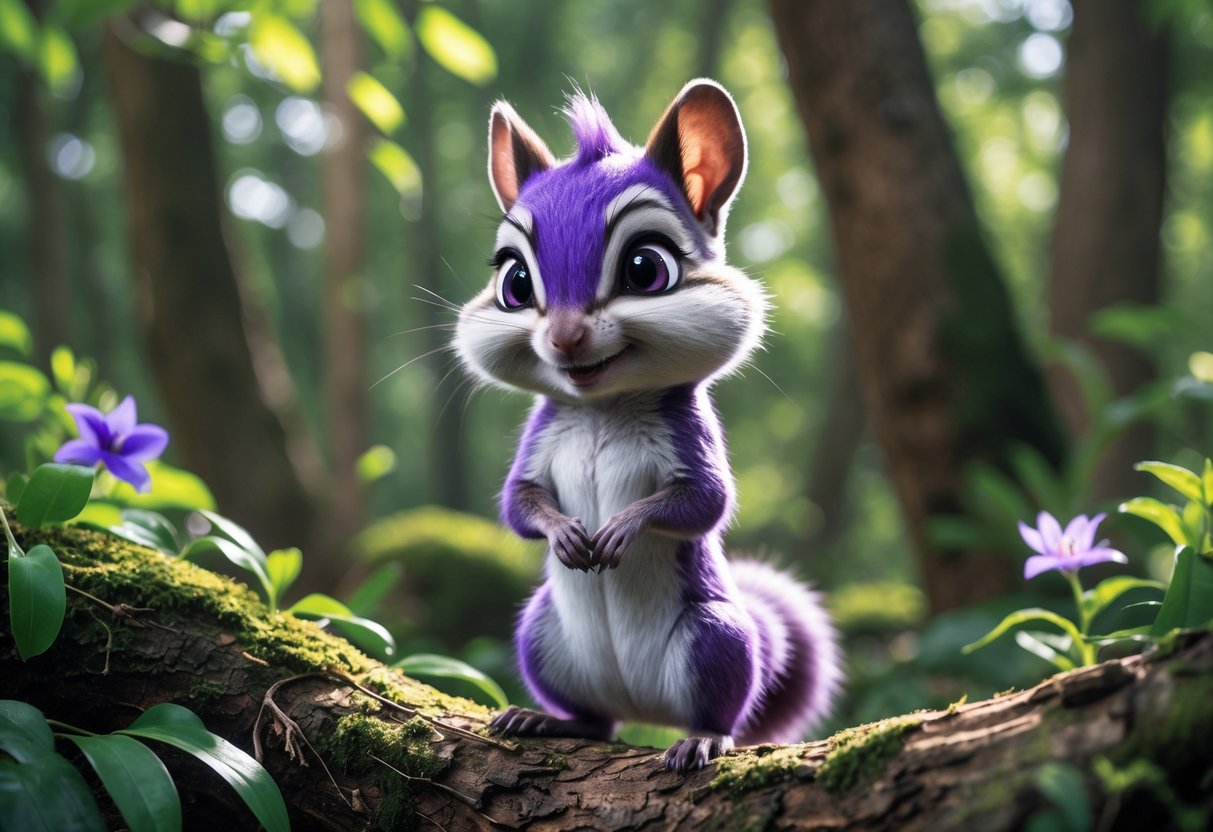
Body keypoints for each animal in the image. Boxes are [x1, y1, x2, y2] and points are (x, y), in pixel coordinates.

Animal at [455, 79, 841, 773]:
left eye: (646, 268)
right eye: (514, 282)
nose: (565, 338)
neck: (603, 407)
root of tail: (645, 708)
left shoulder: (688, 435)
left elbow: (703, 501)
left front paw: (622, 528)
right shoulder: (539, 439)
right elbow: (518, 504)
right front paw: (563, 532)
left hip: (716, 639)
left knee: (719, 712)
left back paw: (703, 737)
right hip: (541, 635)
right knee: (595, 721)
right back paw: (545, 720)